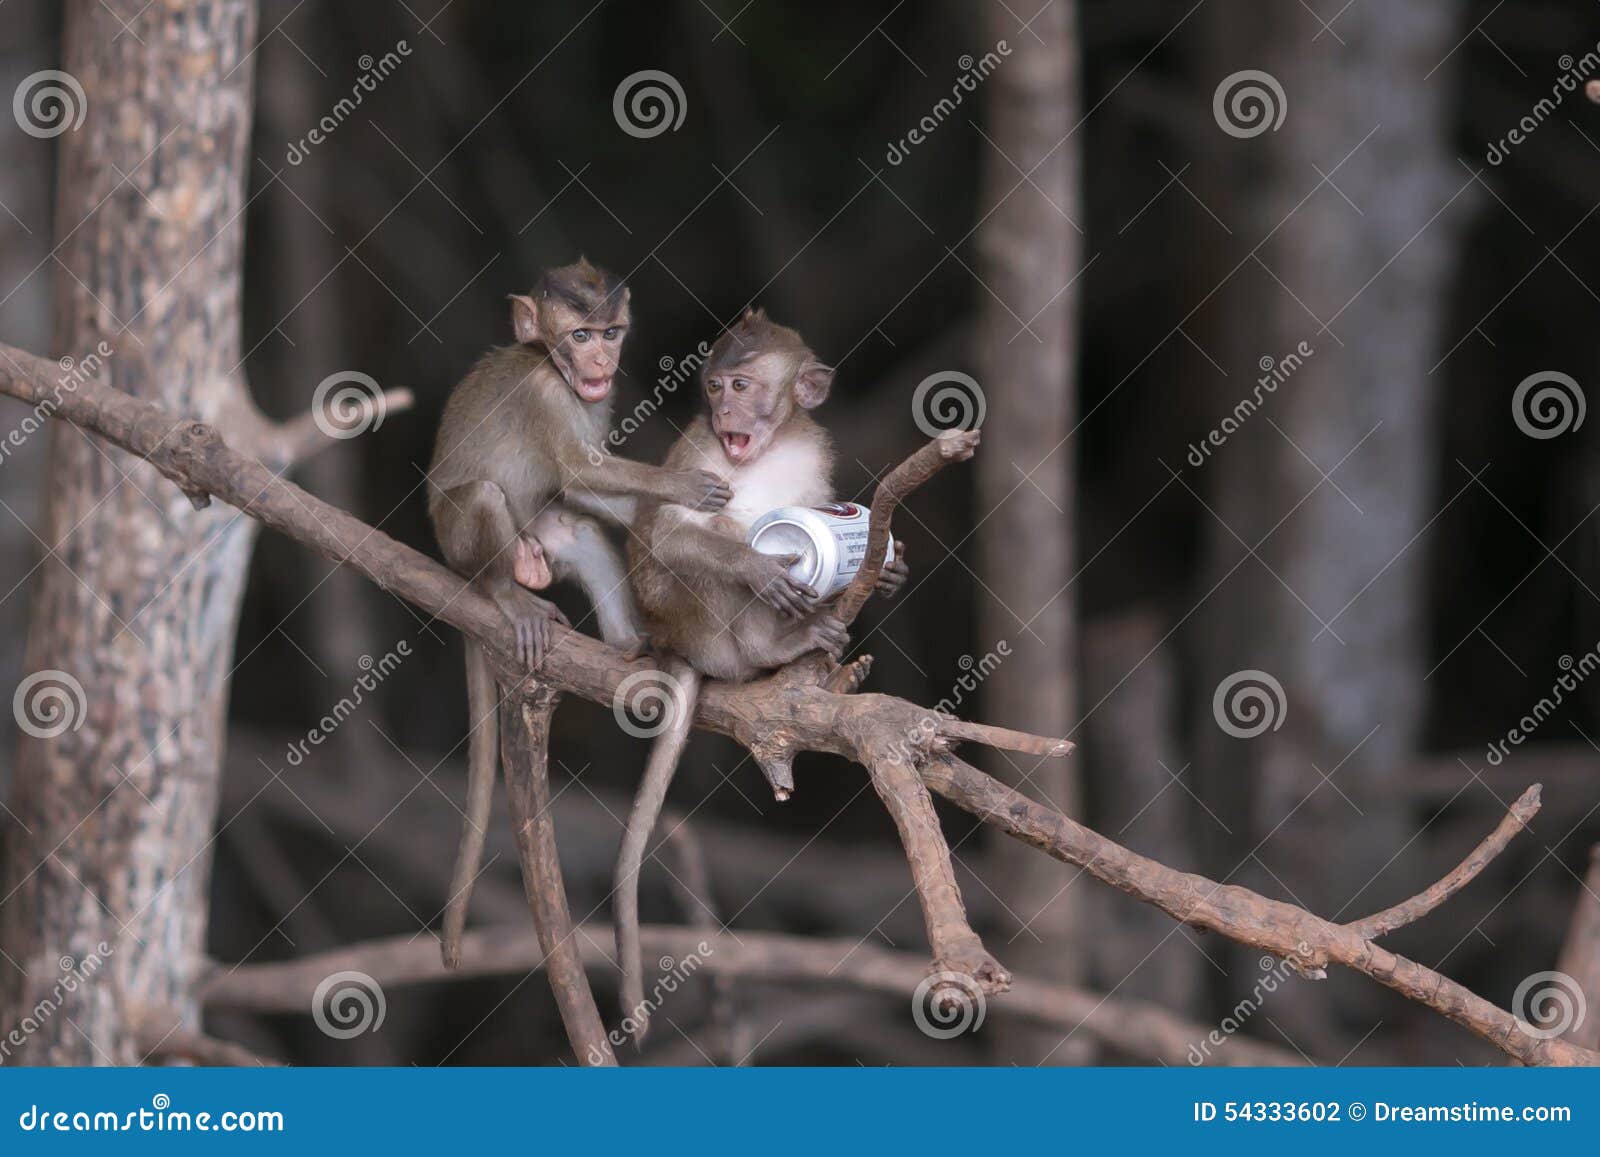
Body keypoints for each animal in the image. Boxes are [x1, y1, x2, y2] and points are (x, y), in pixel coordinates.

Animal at [426, 258, 733, 969]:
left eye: (612, 331)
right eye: (580, 334)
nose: (600, 361)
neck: (553, 365)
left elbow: (588, 493)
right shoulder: (547, 396)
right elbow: (577, 469)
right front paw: (682, 487)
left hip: (538, 534)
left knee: (580, 530)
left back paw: (625, 639)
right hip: (460, 541)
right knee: (486, 497)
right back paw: (510, 594)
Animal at [612, 309, 909, 1041]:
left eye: (742, 385)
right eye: (714, 386)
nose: (724, 411)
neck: (766, 451)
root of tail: (677, 647)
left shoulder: (814, 456)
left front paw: (887, 568)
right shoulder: (699, 458)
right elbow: (673, 534)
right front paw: (763, 566)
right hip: (691, 622)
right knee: (706, 544)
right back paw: (777, 639)